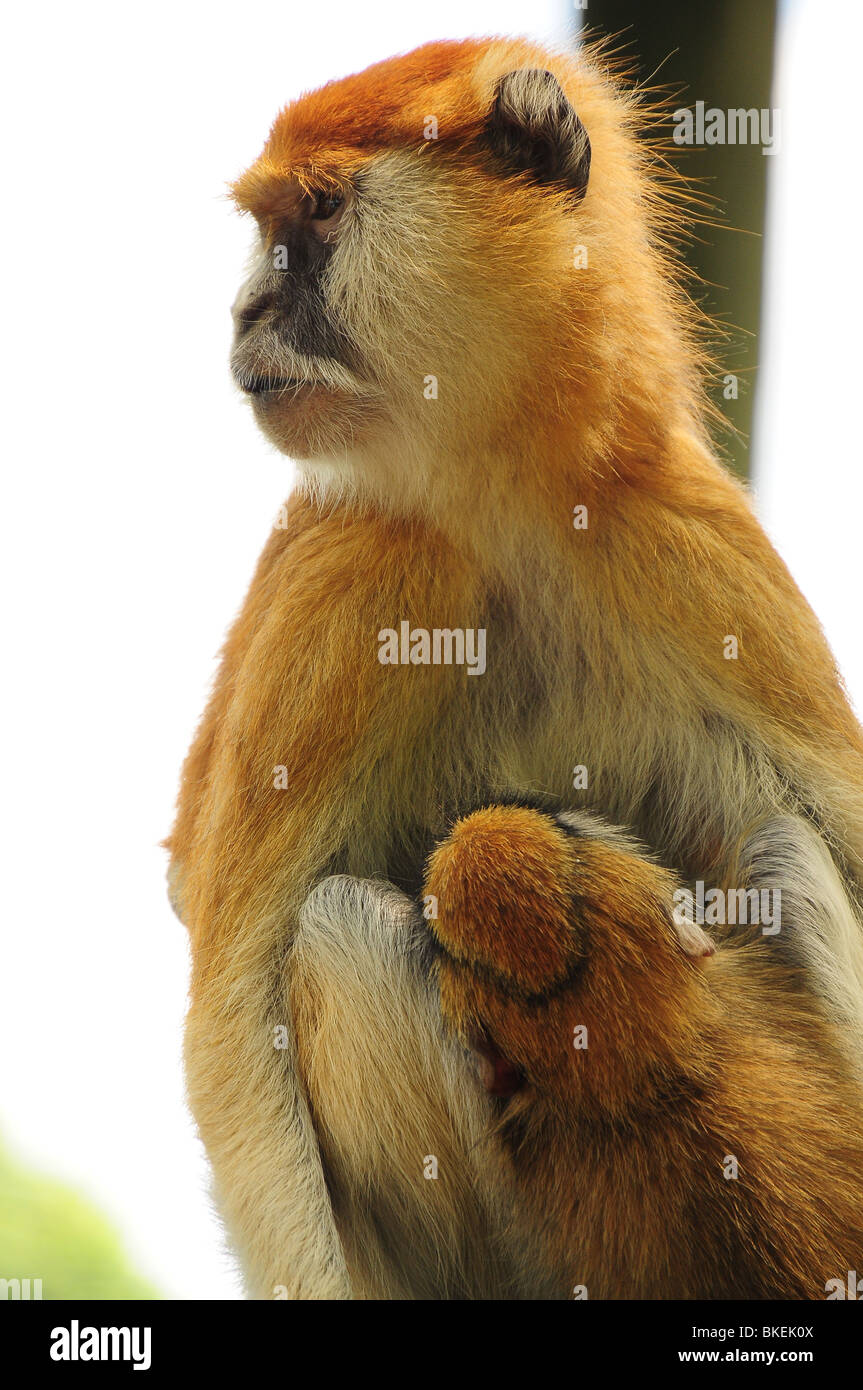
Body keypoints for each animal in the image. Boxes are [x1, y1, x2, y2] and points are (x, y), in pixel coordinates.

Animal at [167, 35, 863, 1299]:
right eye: (273, 226)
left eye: (317, 216)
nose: (245, 308)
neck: (502, 490)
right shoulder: (364, 581)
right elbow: (233, 1019)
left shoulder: (675, 533)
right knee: (341, 933)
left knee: (787, 848)